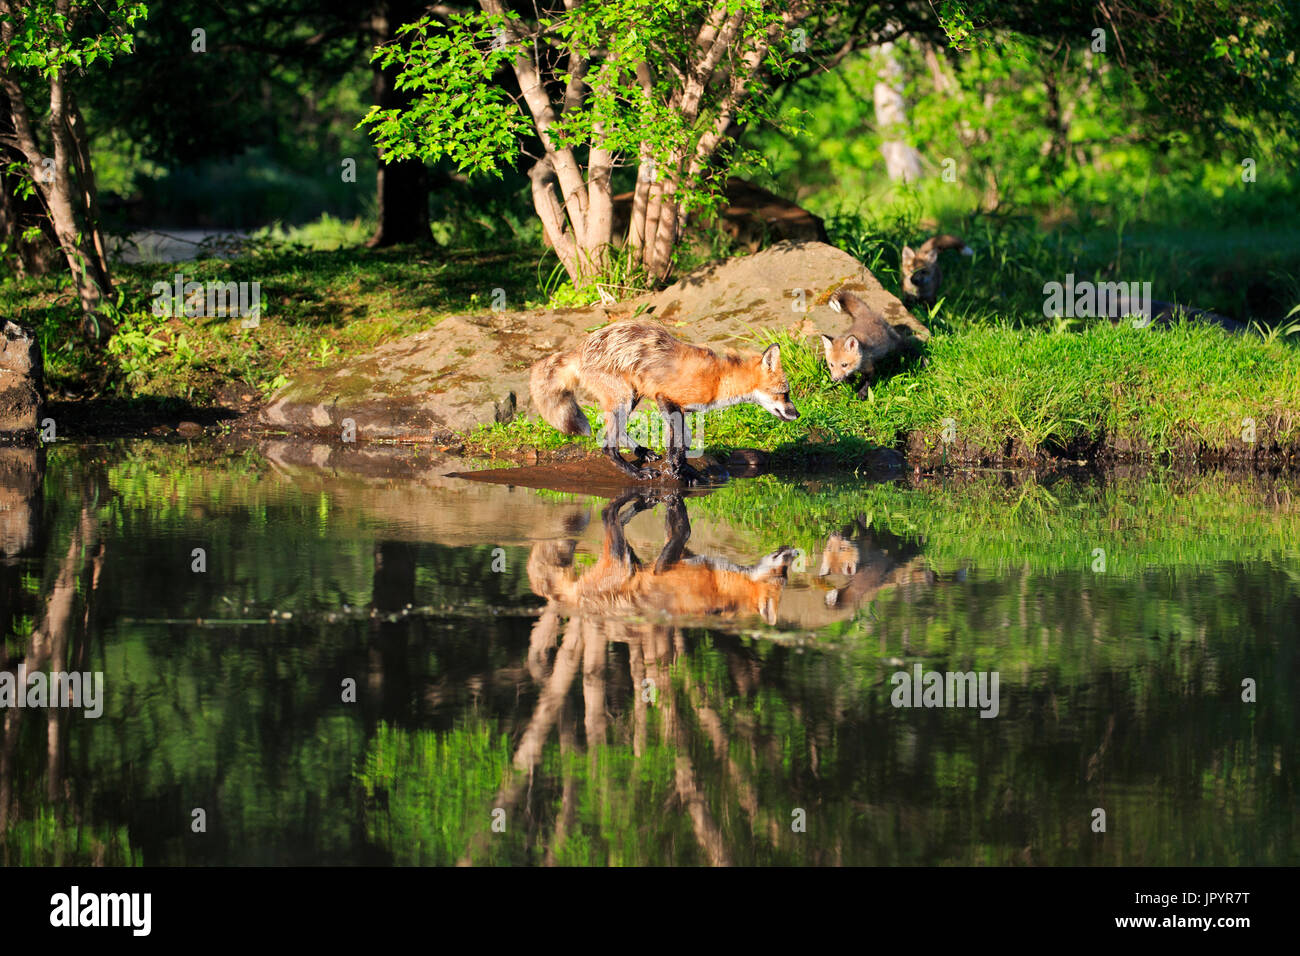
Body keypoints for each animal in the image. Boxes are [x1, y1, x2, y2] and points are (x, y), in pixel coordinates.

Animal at [530, 321, 800, 483]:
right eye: (785, 394)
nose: (797, 415)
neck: (718, 380)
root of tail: (580, 349)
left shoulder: (682, 410)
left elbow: (679, 443)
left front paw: (682, 469)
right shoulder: (666, 399)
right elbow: (680, 440)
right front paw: (678, 471)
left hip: (633, 397)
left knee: (617, 433)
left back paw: (642, 452)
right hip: (624, 399)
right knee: (606, 445)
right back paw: (636, 472)